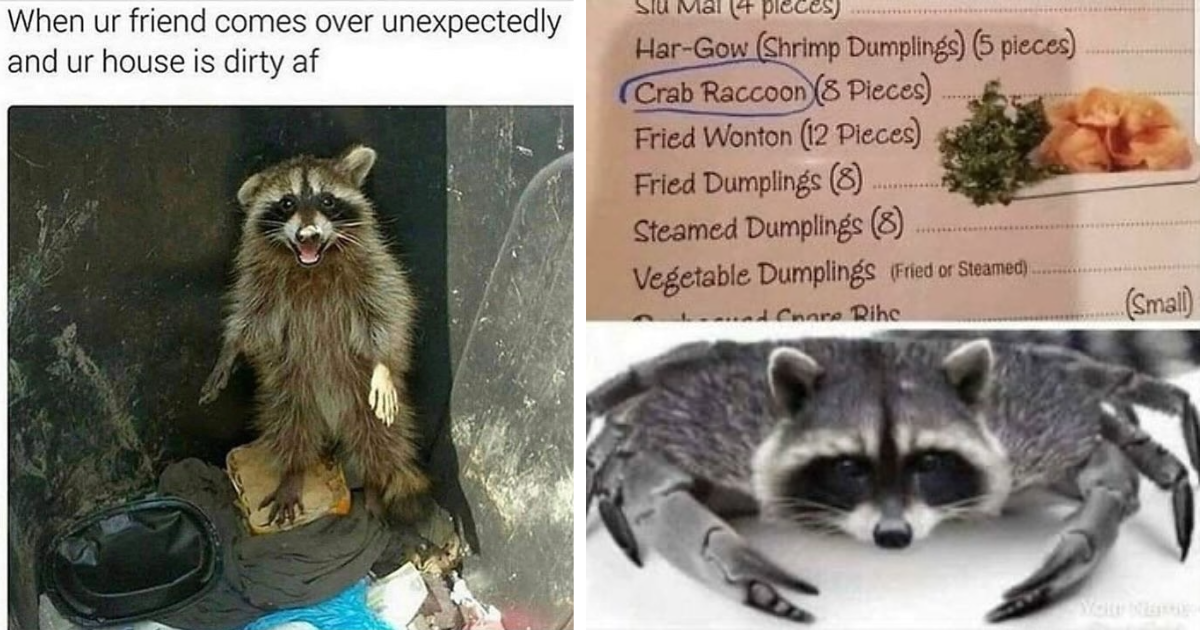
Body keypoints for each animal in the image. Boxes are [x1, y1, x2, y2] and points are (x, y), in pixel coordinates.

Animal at [200, 145, 429, 525]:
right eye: (287, 202)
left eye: (327, 200)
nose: (308, 235)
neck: (312, 266)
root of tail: (332, 423)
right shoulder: (261, 286)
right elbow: (250, 319)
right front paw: (230, 350)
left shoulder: (375, 271)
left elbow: (386, 312)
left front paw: (383, 365)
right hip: (288, 389)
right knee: (288, 427)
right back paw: (293, 472)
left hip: (360, 397)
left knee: (380, 440)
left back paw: (375, 483)